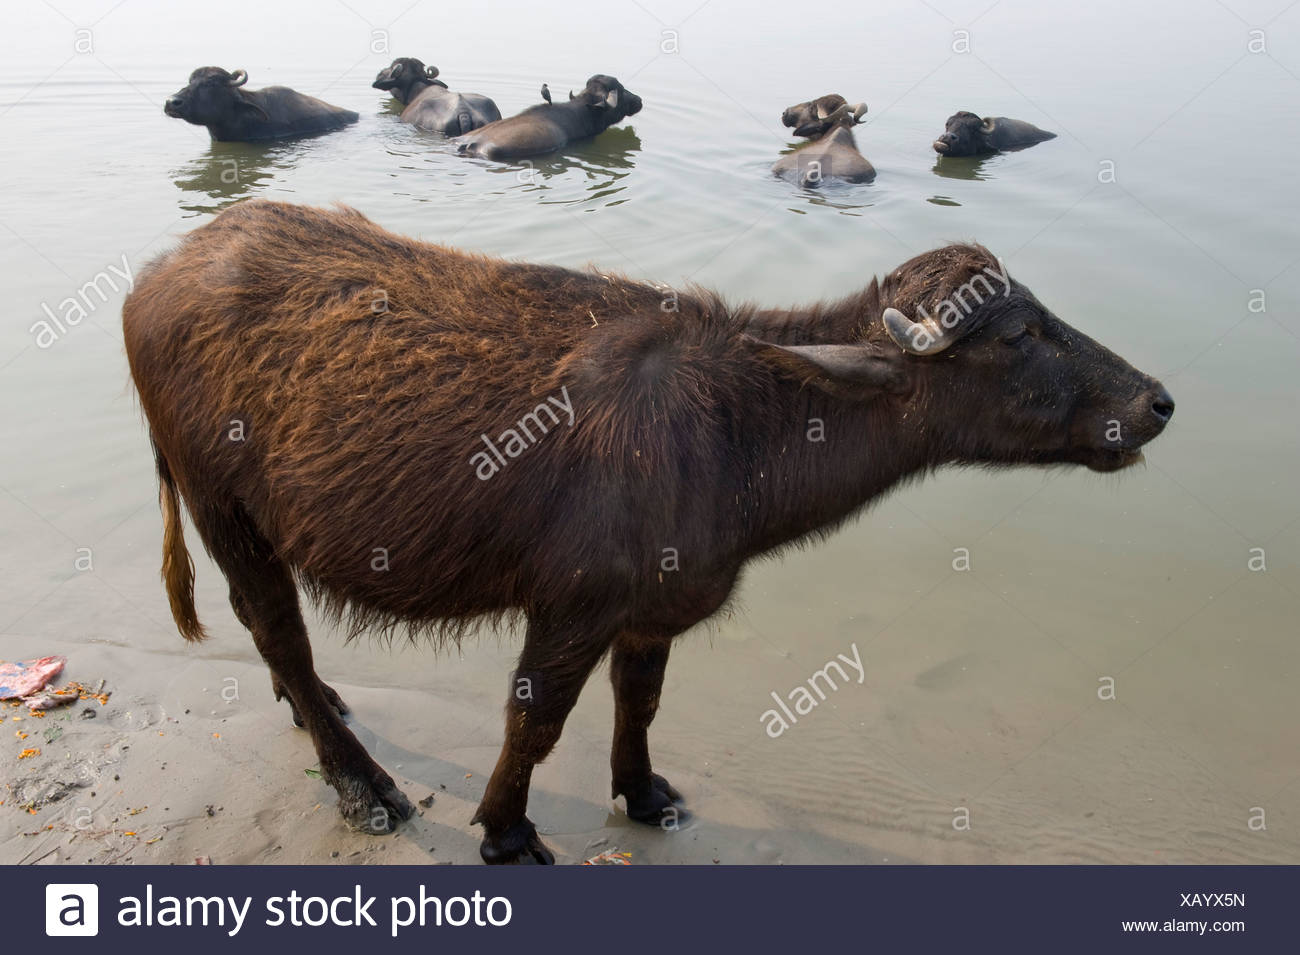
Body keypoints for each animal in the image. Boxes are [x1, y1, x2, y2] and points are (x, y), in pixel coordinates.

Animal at [123, 200, 1173, 864]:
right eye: (1016, 337)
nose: (1156, 403)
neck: (737, 423)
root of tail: (157, 274)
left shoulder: (653, 608)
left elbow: (642, 702)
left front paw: (644, 791)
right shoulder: (572, 604)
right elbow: (536, 716)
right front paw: (506, 829)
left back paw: (321, 712)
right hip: (222, 509)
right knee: (275, 626)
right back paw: (360, 782)